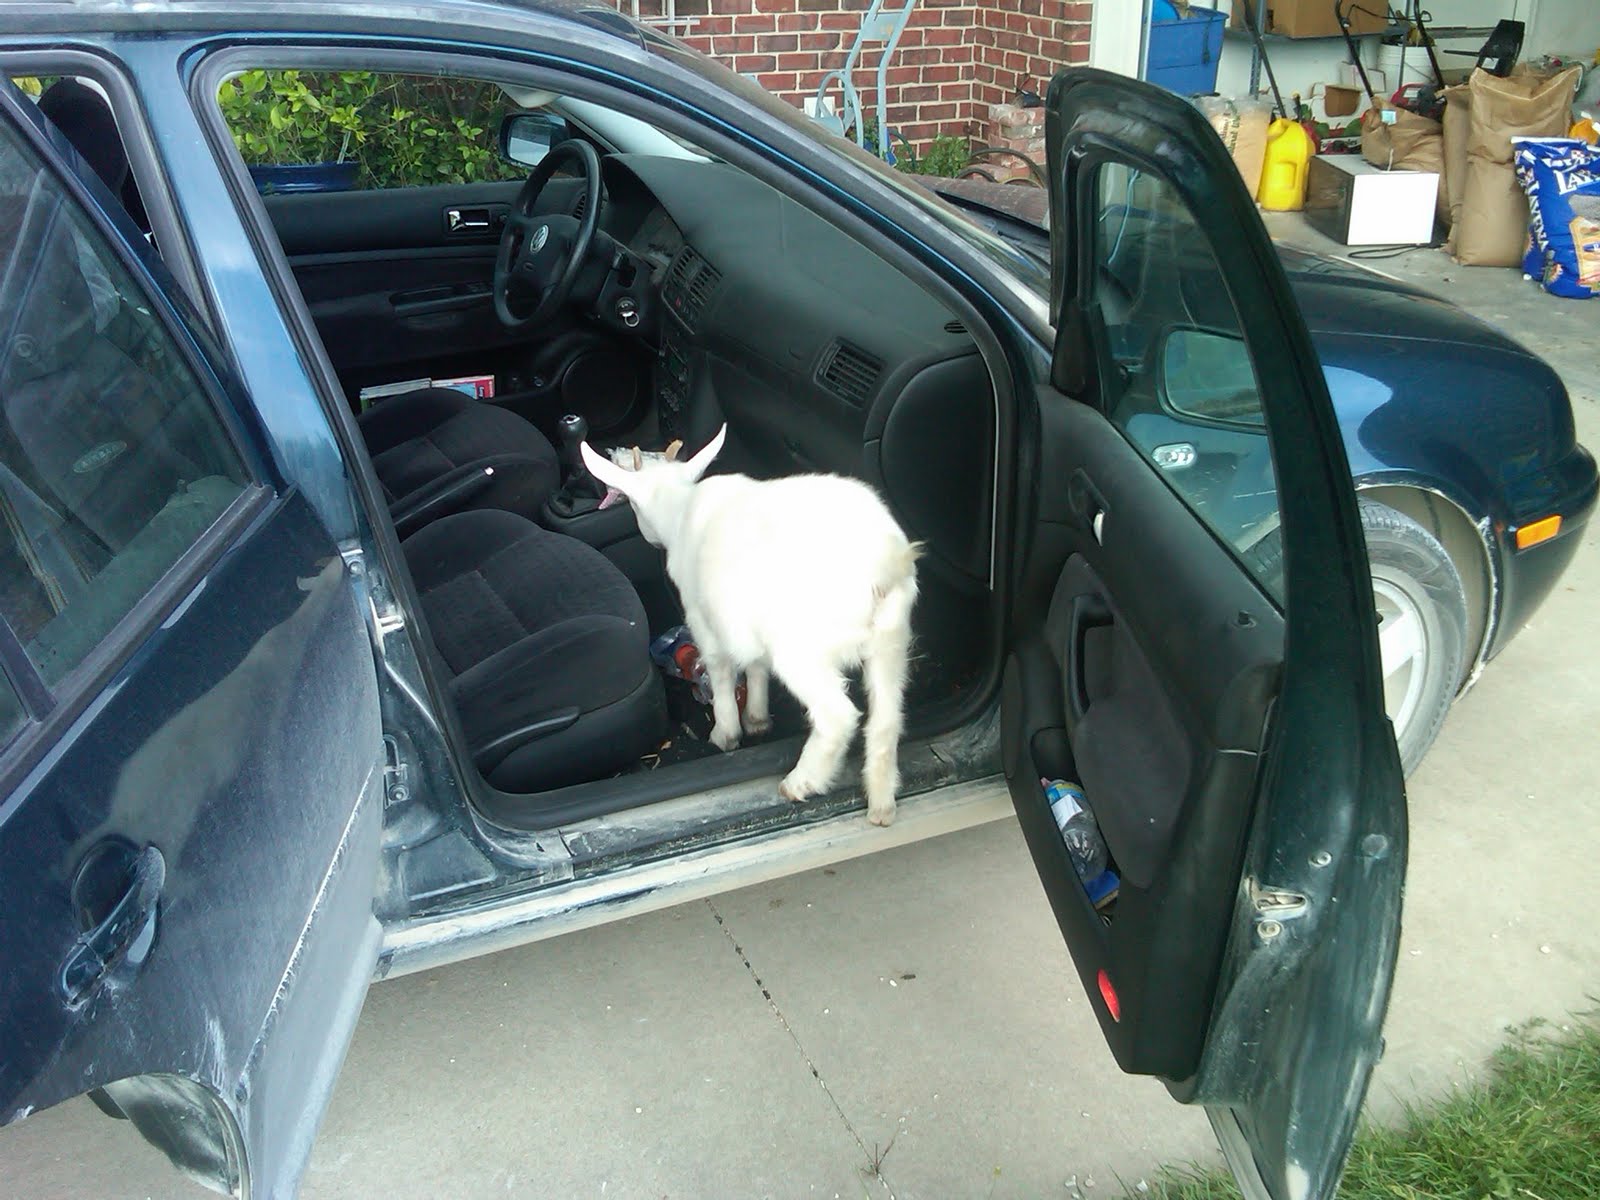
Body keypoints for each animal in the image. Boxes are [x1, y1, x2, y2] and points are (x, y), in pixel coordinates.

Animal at [581, 425, 919, 825]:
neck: (681, 506)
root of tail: (884, 564)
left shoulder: (703, 618)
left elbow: (721, 672)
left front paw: (726, 733)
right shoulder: (742, 619)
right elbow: (756, 666)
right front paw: (757, 717)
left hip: (801, 650)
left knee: (838, 716)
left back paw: (801, 782)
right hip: (891, 639)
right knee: (887, 720)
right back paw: (882, 804)